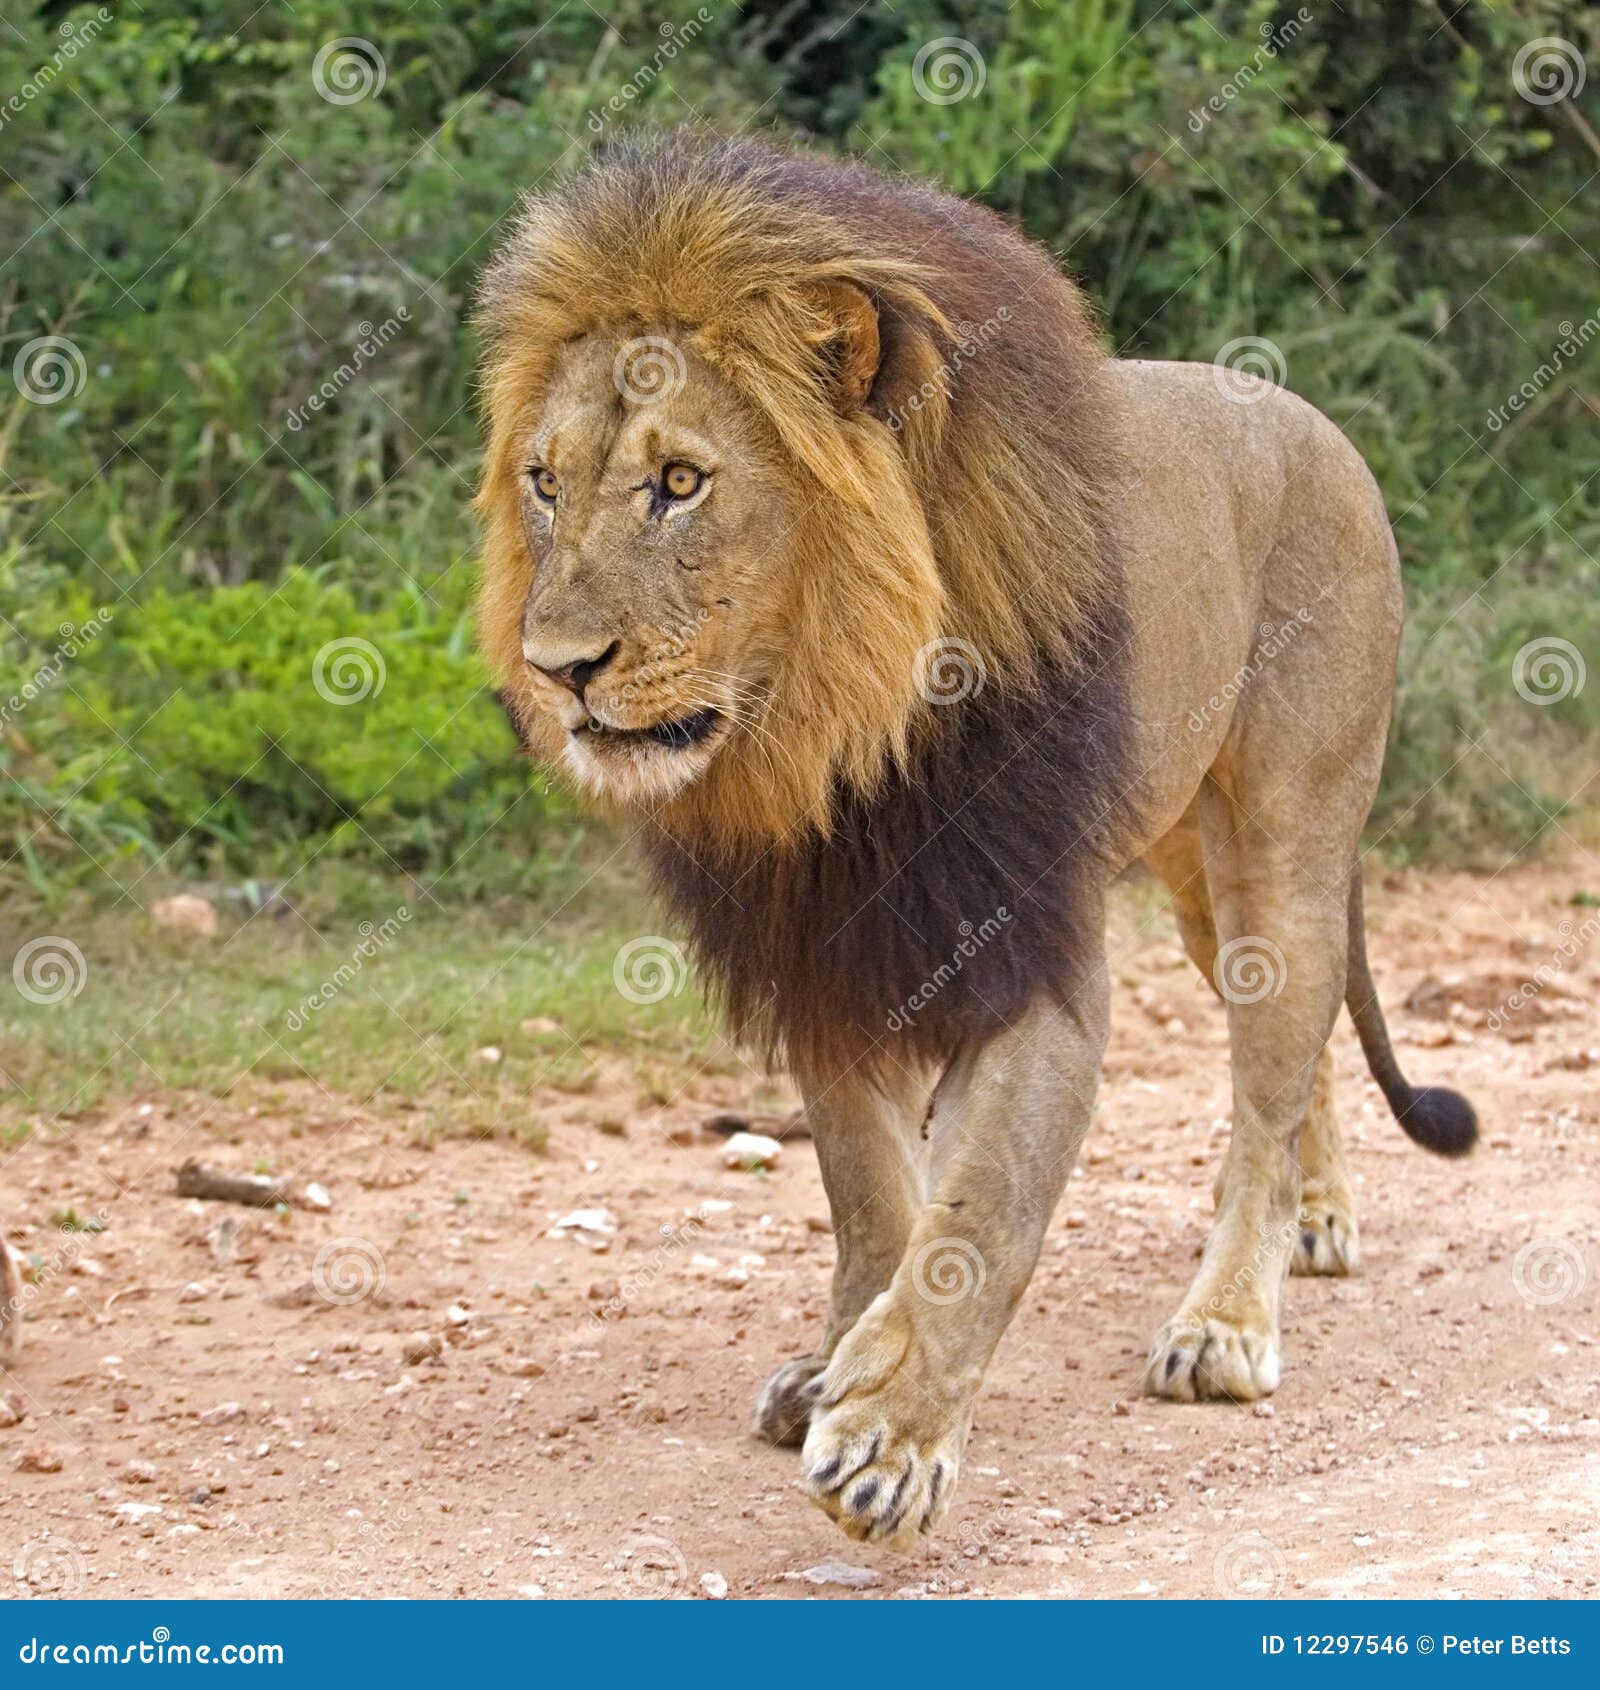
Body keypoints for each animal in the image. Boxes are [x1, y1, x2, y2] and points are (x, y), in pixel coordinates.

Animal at [475, 131, 1476, 1550]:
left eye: (679, 483)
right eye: (545, 484)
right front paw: (836, 1363)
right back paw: (1319, 1214)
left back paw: (1231, 1320)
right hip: (1194, 877)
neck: (840, 730)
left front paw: (890, 1440)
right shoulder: (833, 951)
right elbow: (873, 1191)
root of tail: (1311, 419)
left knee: (1270, 1067)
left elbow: (979, 1209)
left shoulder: (1031, 951)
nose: (555, 669)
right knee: (1308, 1033)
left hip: (1284, 834)